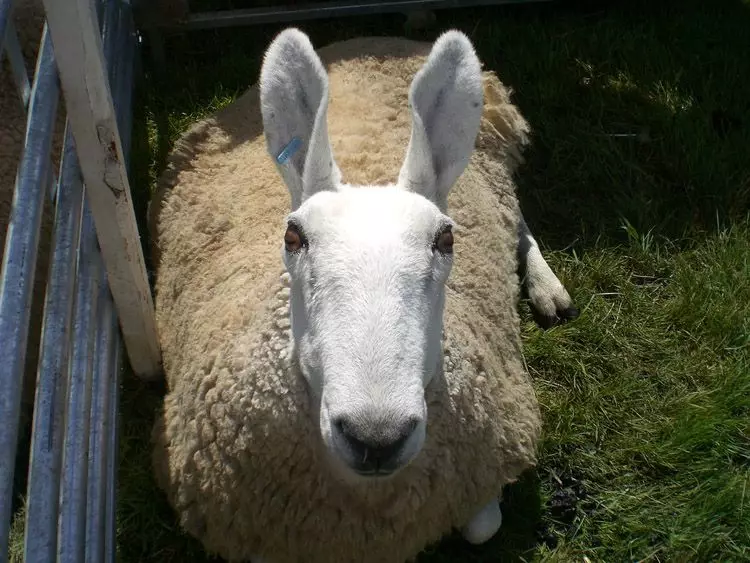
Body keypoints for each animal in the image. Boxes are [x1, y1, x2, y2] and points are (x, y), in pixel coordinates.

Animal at [150, 27, 580, 563]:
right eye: (292, 236)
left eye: (446, 239)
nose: (377, 438)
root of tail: (380, 36)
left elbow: (484, 526)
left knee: (516, 214)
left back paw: (547, 286)